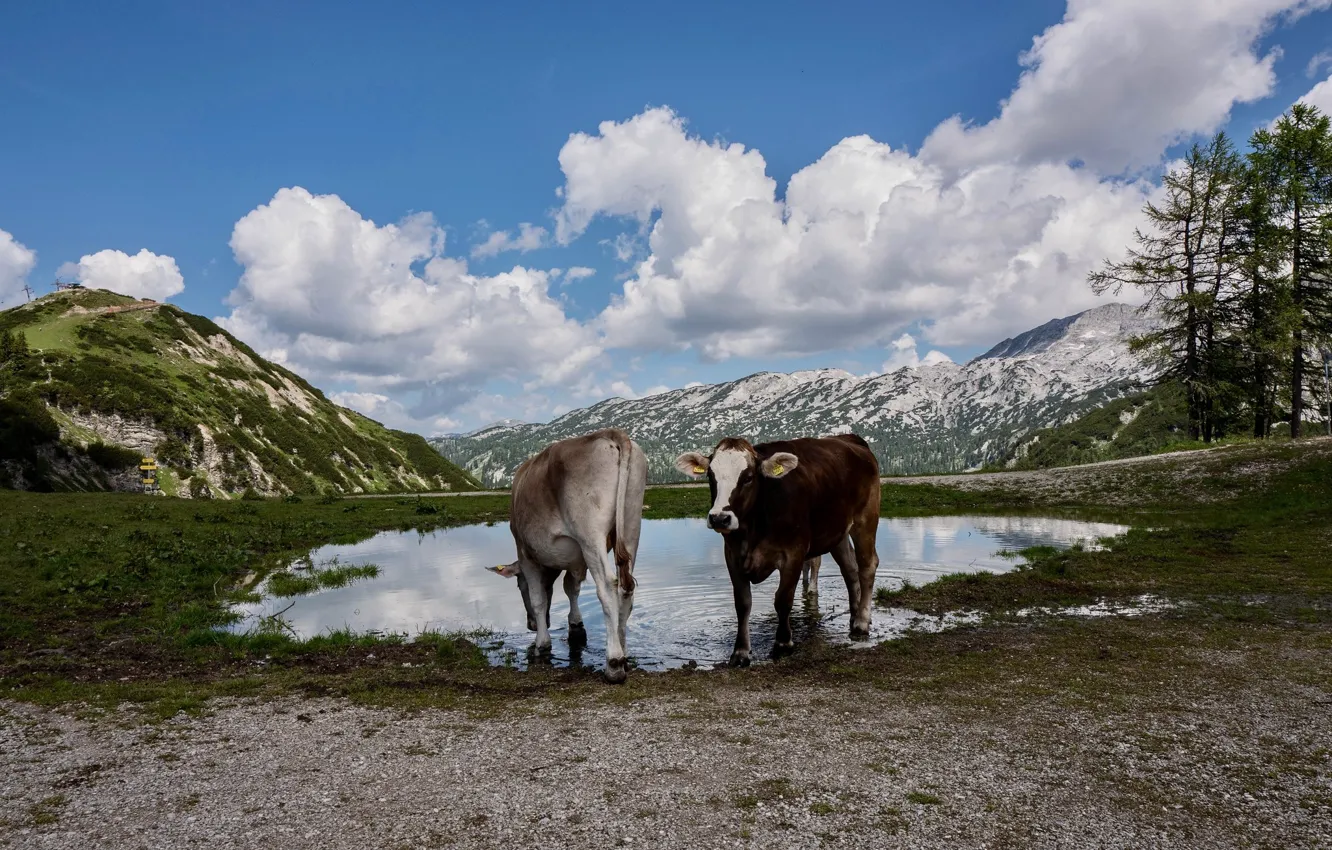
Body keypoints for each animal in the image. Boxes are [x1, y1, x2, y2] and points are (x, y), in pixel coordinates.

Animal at [493, 428, 648, 684]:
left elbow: (538, 598)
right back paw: (624, 653)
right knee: (627, 588)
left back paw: (614, 663)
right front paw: (576, 626)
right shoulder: (577, 560)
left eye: (518, 584)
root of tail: (610, 433)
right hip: (631, 525)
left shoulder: (525, 553)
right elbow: (571, 587)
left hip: (590, 533)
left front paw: (541, 643)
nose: (530, 625)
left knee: (608, 586)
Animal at [675, 434, 880, 667]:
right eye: (711, 476)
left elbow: (783, 599)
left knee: (867, 566)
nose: (720, 518)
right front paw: (741, 652)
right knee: (850, 569)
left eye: (748, 477)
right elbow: (742, 603)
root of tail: (849, 438)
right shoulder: (732, 556)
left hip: (866, 519)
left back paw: (862, 622)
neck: (754, 529)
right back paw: (854, 616)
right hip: (837, 533)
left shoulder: (794, 553)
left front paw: (783, 644)